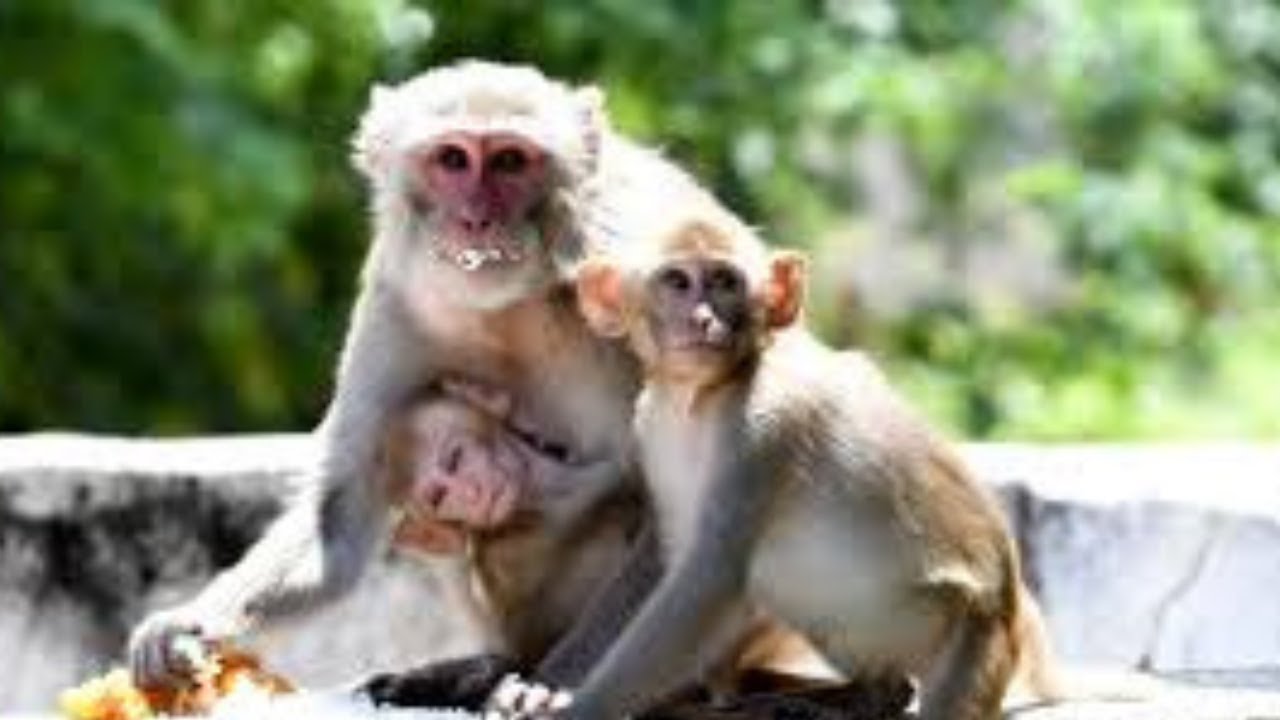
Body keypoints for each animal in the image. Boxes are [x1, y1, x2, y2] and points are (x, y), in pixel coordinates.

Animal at [513, 201, 1067, 720]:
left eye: (725, 282)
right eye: (676, 281)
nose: (703, 320)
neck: (701, 397)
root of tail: (1009, 603)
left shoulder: (762, 432)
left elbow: (708, 581)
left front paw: (580, 707)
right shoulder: (652, 426)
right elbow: (672, 561)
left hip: (972, 639)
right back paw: (855, 695)